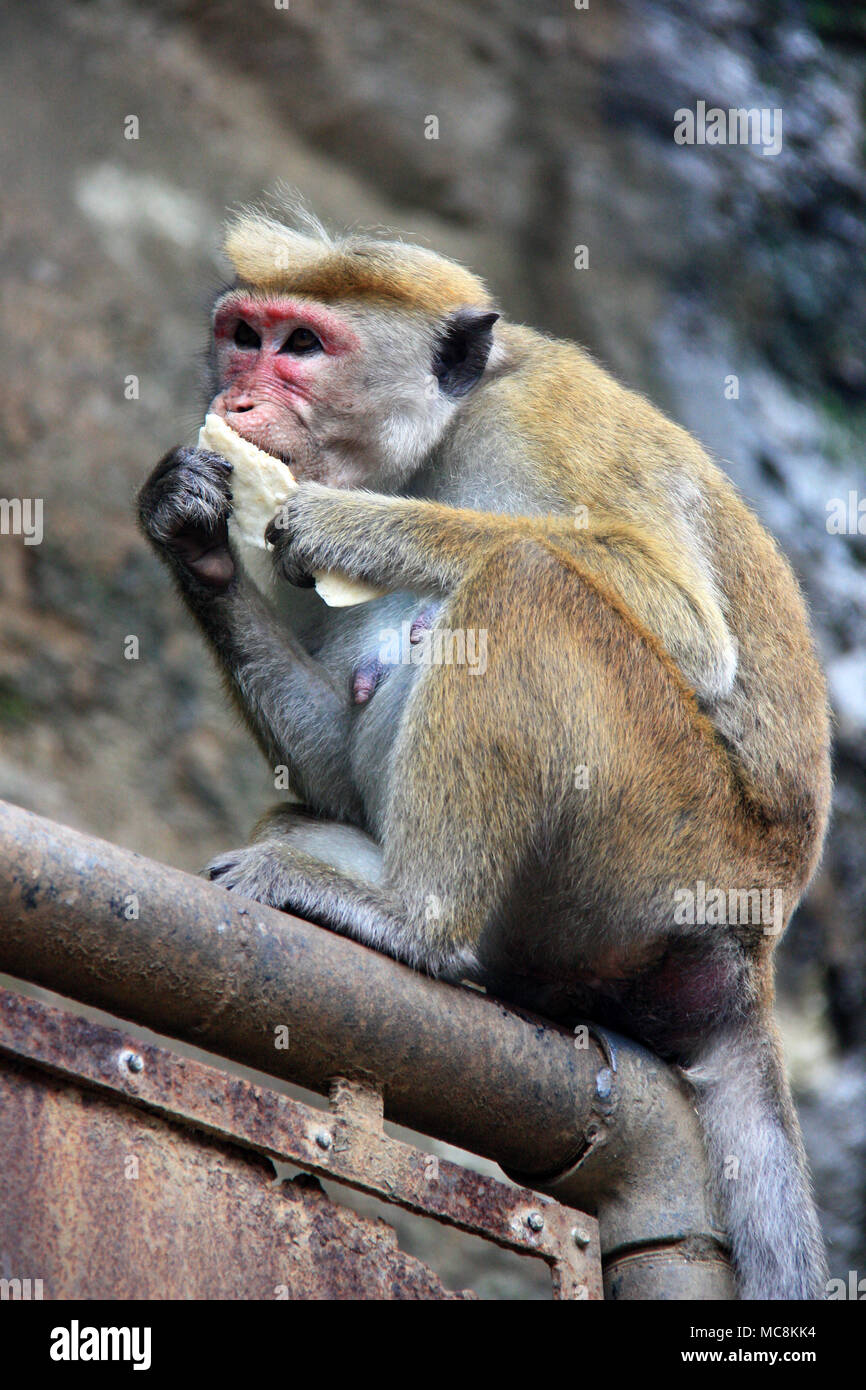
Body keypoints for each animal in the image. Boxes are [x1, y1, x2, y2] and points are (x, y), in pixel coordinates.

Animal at [137, 201, 831, 1301]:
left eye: (303, 346)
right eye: (243, 334)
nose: (235, 398)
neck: (448, 431)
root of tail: (749, 946)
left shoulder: (543, 424)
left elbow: (682, 622)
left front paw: (353, 525)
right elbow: (329, 771)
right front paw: (188, 523)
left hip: (672, 850)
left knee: (525, 579)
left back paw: (416, 921)